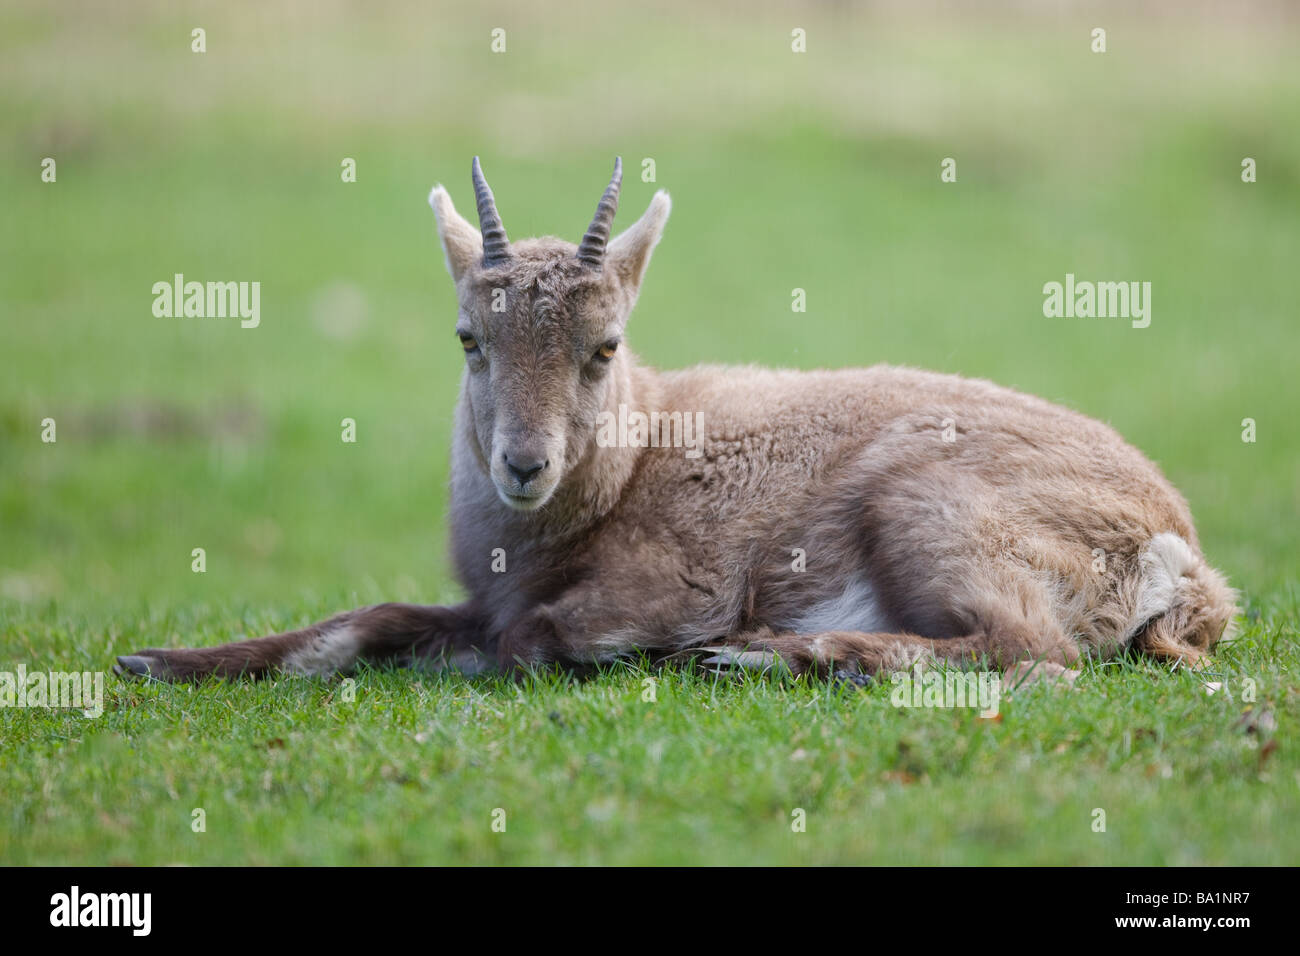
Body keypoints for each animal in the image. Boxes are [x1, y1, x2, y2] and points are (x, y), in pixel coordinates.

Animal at [115, 157, 1238, 686]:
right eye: (470, 338)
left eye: (603, 346)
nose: (522, 464)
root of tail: (1181, 554)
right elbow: (379, 617)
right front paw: (160, 662)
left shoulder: (673, 580)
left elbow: (526, 639)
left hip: (932, 508)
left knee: (1030, 650)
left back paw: (763, 655)